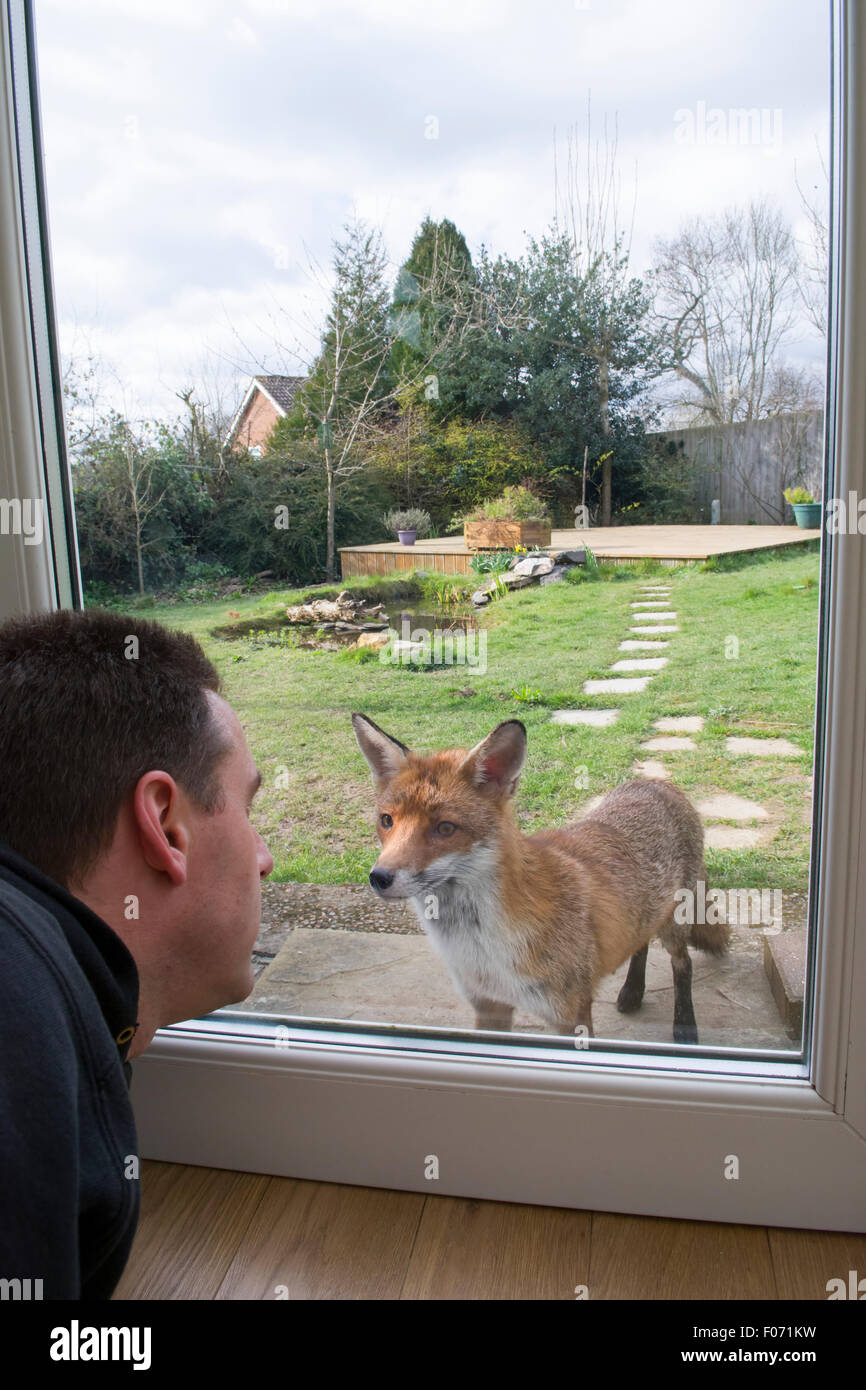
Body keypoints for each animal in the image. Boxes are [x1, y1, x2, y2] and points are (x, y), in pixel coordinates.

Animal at [352, 713, 729, 1044]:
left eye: (445, 828)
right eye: (387, 821)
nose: (379, 877)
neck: (482, 946)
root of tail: (659, 783)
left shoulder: (571, 1015)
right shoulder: (488, 1005)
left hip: (675, 924)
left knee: (683, 963)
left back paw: (685, 1028)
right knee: (641, 944)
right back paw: (632, 993)